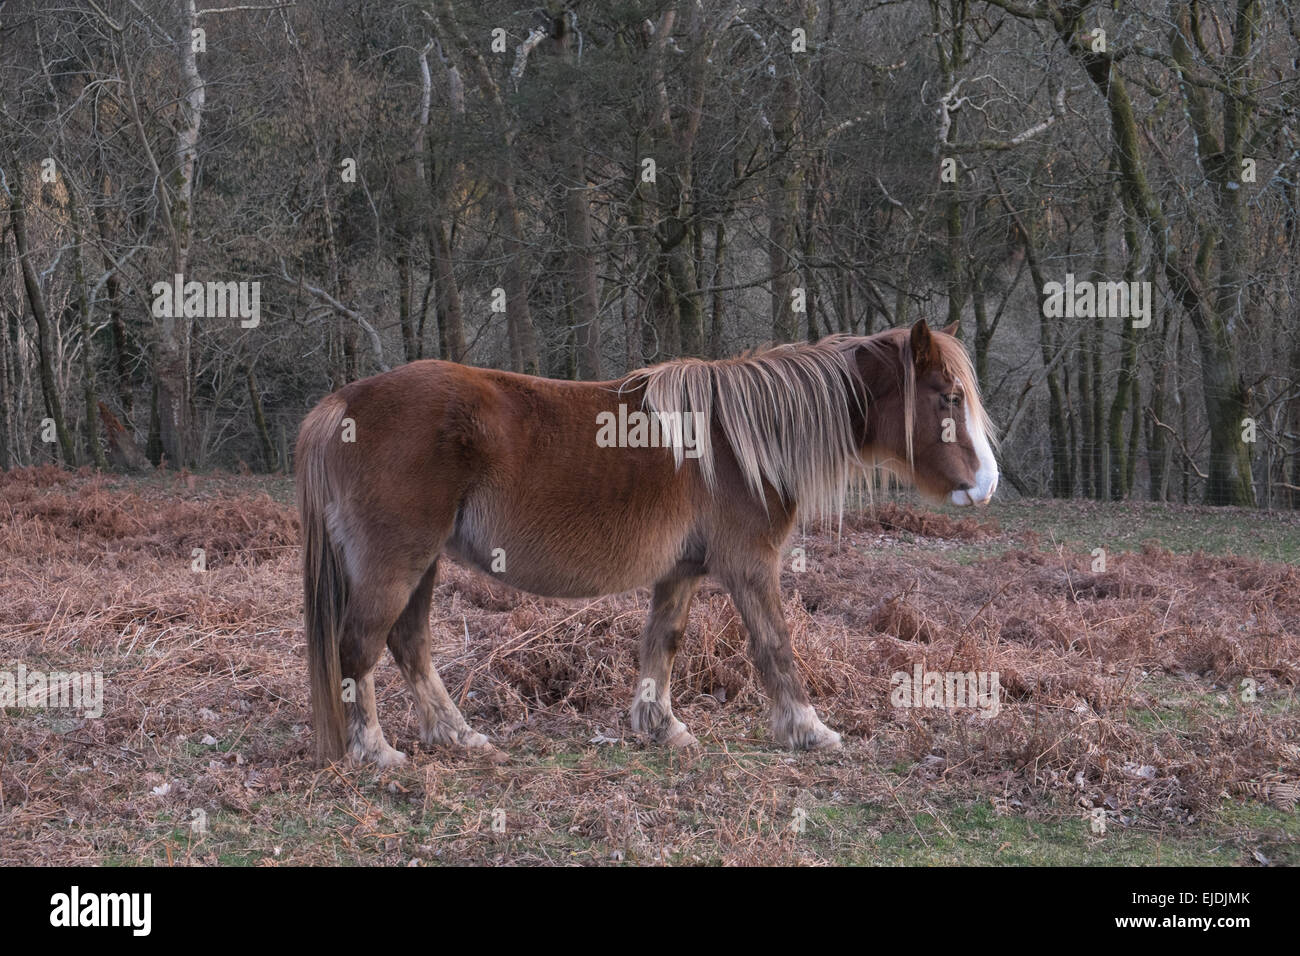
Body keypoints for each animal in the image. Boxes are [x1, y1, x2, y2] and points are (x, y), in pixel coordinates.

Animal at [296, 319, 998, 767]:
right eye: (949, 397)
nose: (988, 483)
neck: (737, 442)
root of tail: (343, 403)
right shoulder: (750, 566)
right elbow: (775, 643)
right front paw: (809, 730)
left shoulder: (681, 569)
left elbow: (663, 641)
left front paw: (661, 727)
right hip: (397, 561)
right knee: (358, 646)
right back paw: (375, 751)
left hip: (422, 564)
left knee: (407, 642)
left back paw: (456, 736)